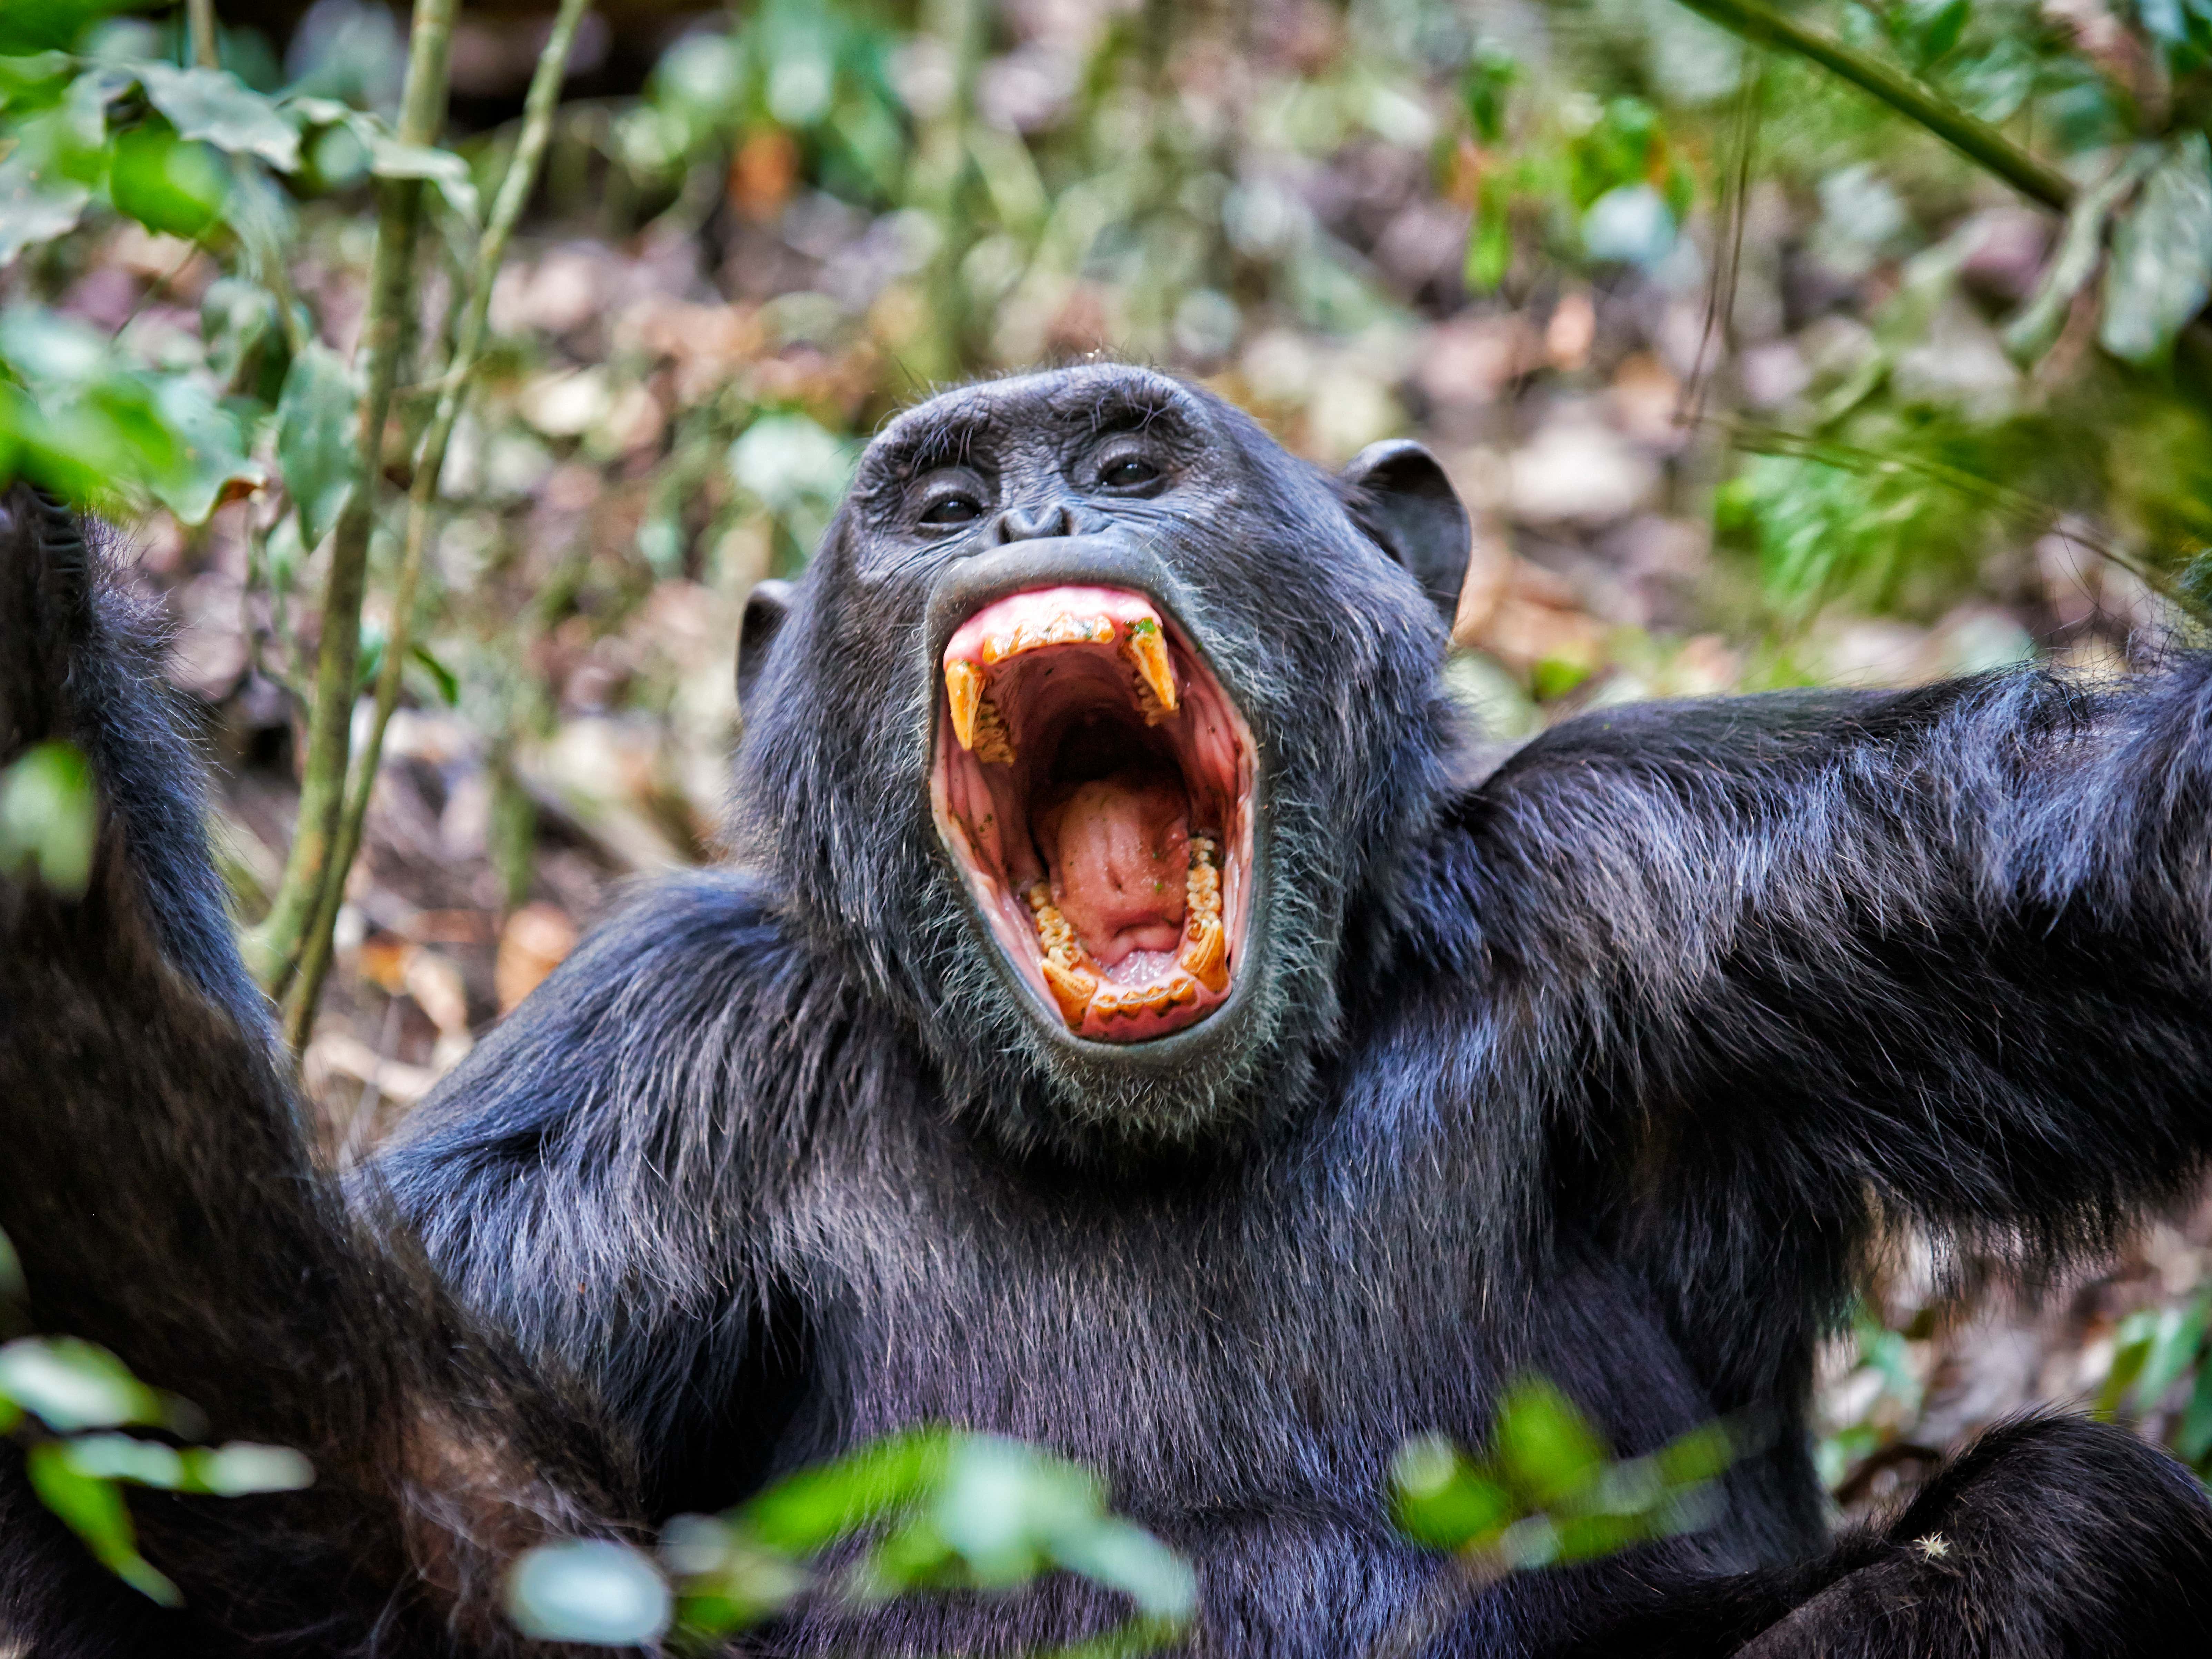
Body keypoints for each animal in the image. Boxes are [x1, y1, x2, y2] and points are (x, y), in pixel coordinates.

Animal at [1, 362, 2209, 1657]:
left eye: (1132, 462)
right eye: (929, 501)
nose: (1024, 516)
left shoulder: (1696, 878)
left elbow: (2118, 875)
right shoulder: (646, 1076)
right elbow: (421, 1495)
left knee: (2067, 1523)